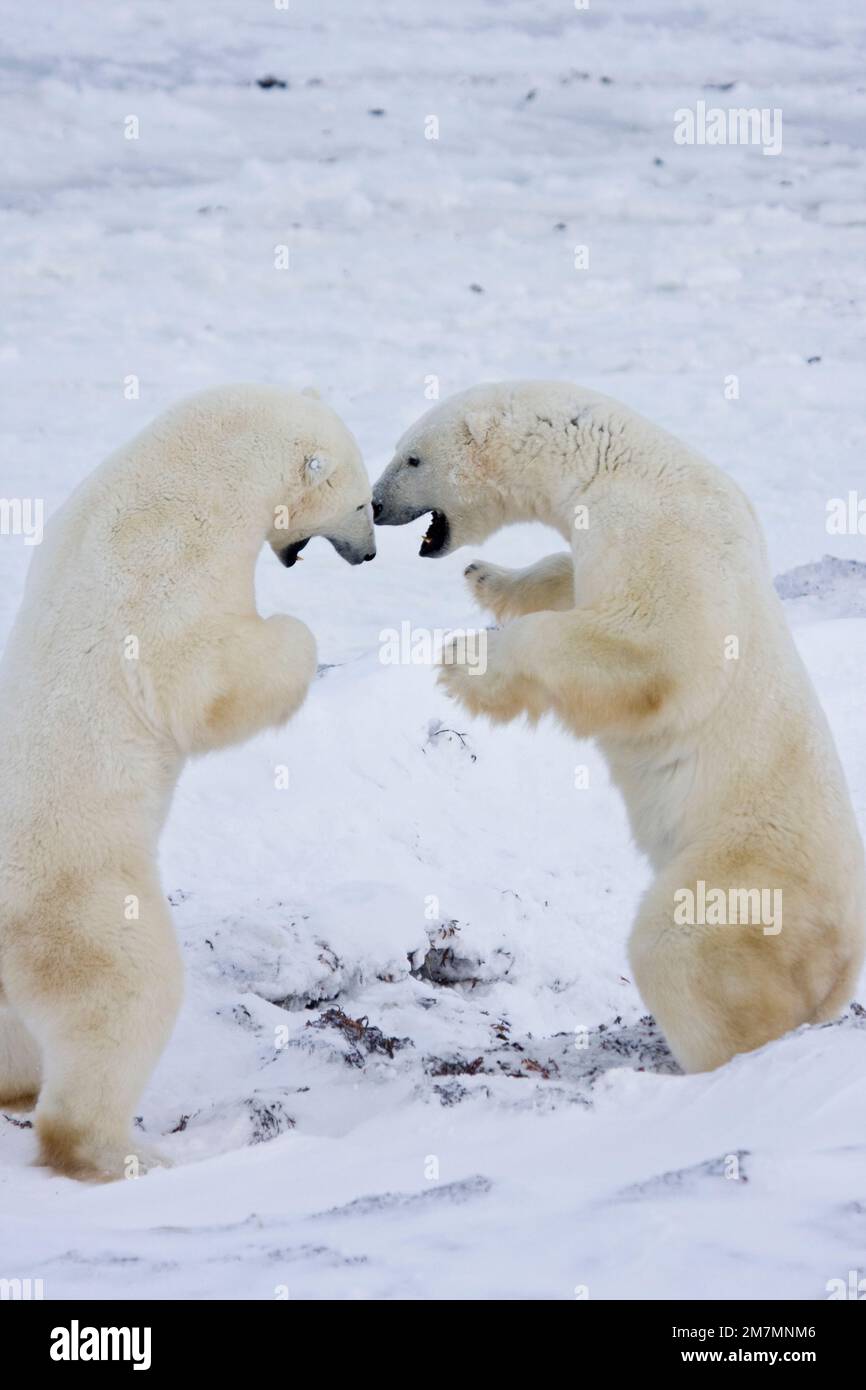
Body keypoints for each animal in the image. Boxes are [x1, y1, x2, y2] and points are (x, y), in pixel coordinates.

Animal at [0, 384, 375, 1179]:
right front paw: (296, 639)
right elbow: (209, 679)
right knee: (126, 998)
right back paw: (127, 1152)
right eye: (361, 501)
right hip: (82, 901)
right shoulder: (166, 572)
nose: (370, 552)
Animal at [372, 380, 866, 1072]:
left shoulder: (663, 535)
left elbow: (650, 647)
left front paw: (464, 660)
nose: (373, 503)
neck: (611, 461)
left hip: (745, 873)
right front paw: (490, 578)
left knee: (679, 944)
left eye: (412, 458)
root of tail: (842, 966)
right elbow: (567, 579)